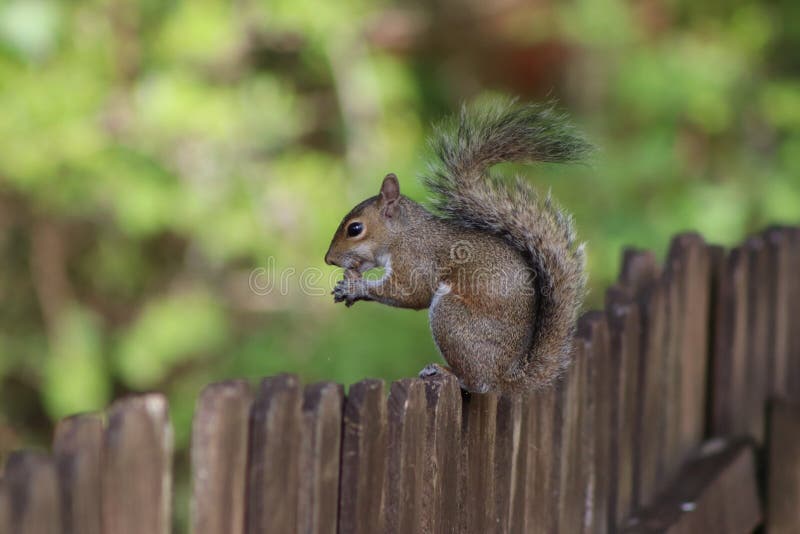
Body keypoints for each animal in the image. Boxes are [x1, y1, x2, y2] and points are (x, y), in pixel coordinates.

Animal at [324, 98, 590, 395]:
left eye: (355, 229)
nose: (329, 259)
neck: (403, 234)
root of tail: (506, 377)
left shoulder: (416, 259)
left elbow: (412, 293)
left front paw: (356, 287)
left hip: (451, 316)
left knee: (476, 382)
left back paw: (445, 371)